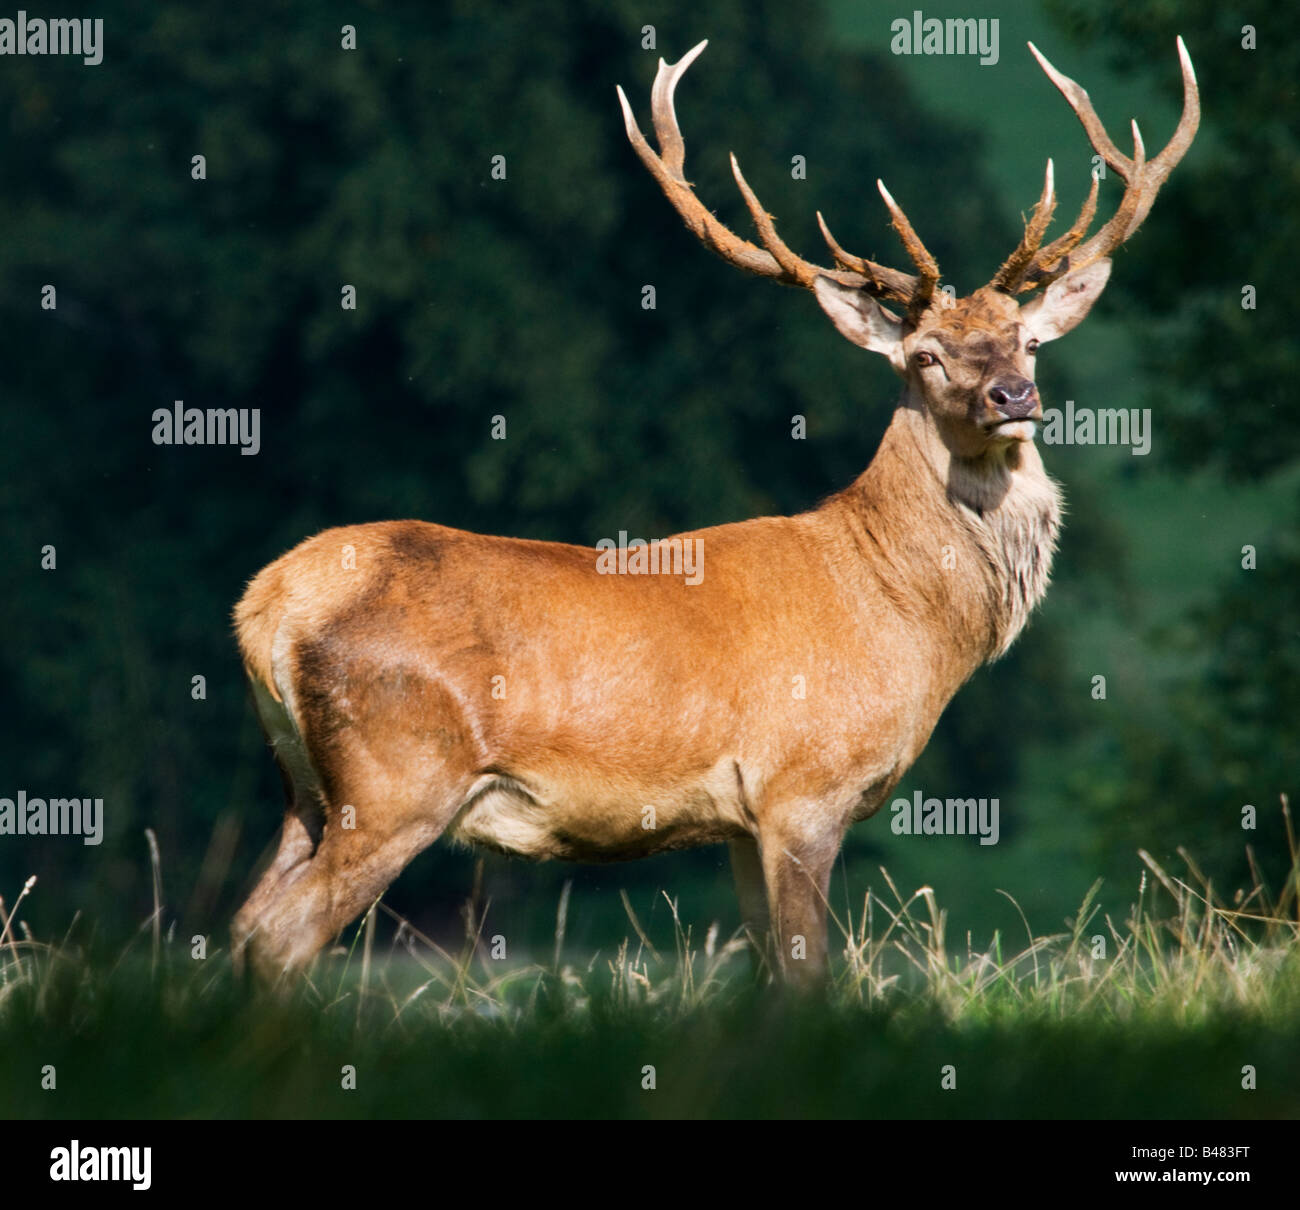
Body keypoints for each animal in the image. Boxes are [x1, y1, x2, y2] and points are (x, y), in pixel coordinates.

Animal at [230, 38, 1198, 986]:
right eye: (924, 354)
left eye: (1029, 340)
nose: (1013, 396)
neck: (905, 614)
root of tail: (266, 604)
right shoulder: (804, 787)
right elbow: (809, 979)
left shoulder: (740, 822)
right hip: (397, 776)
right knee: (281, 936)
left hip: (302, 788)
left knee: (239, 925)